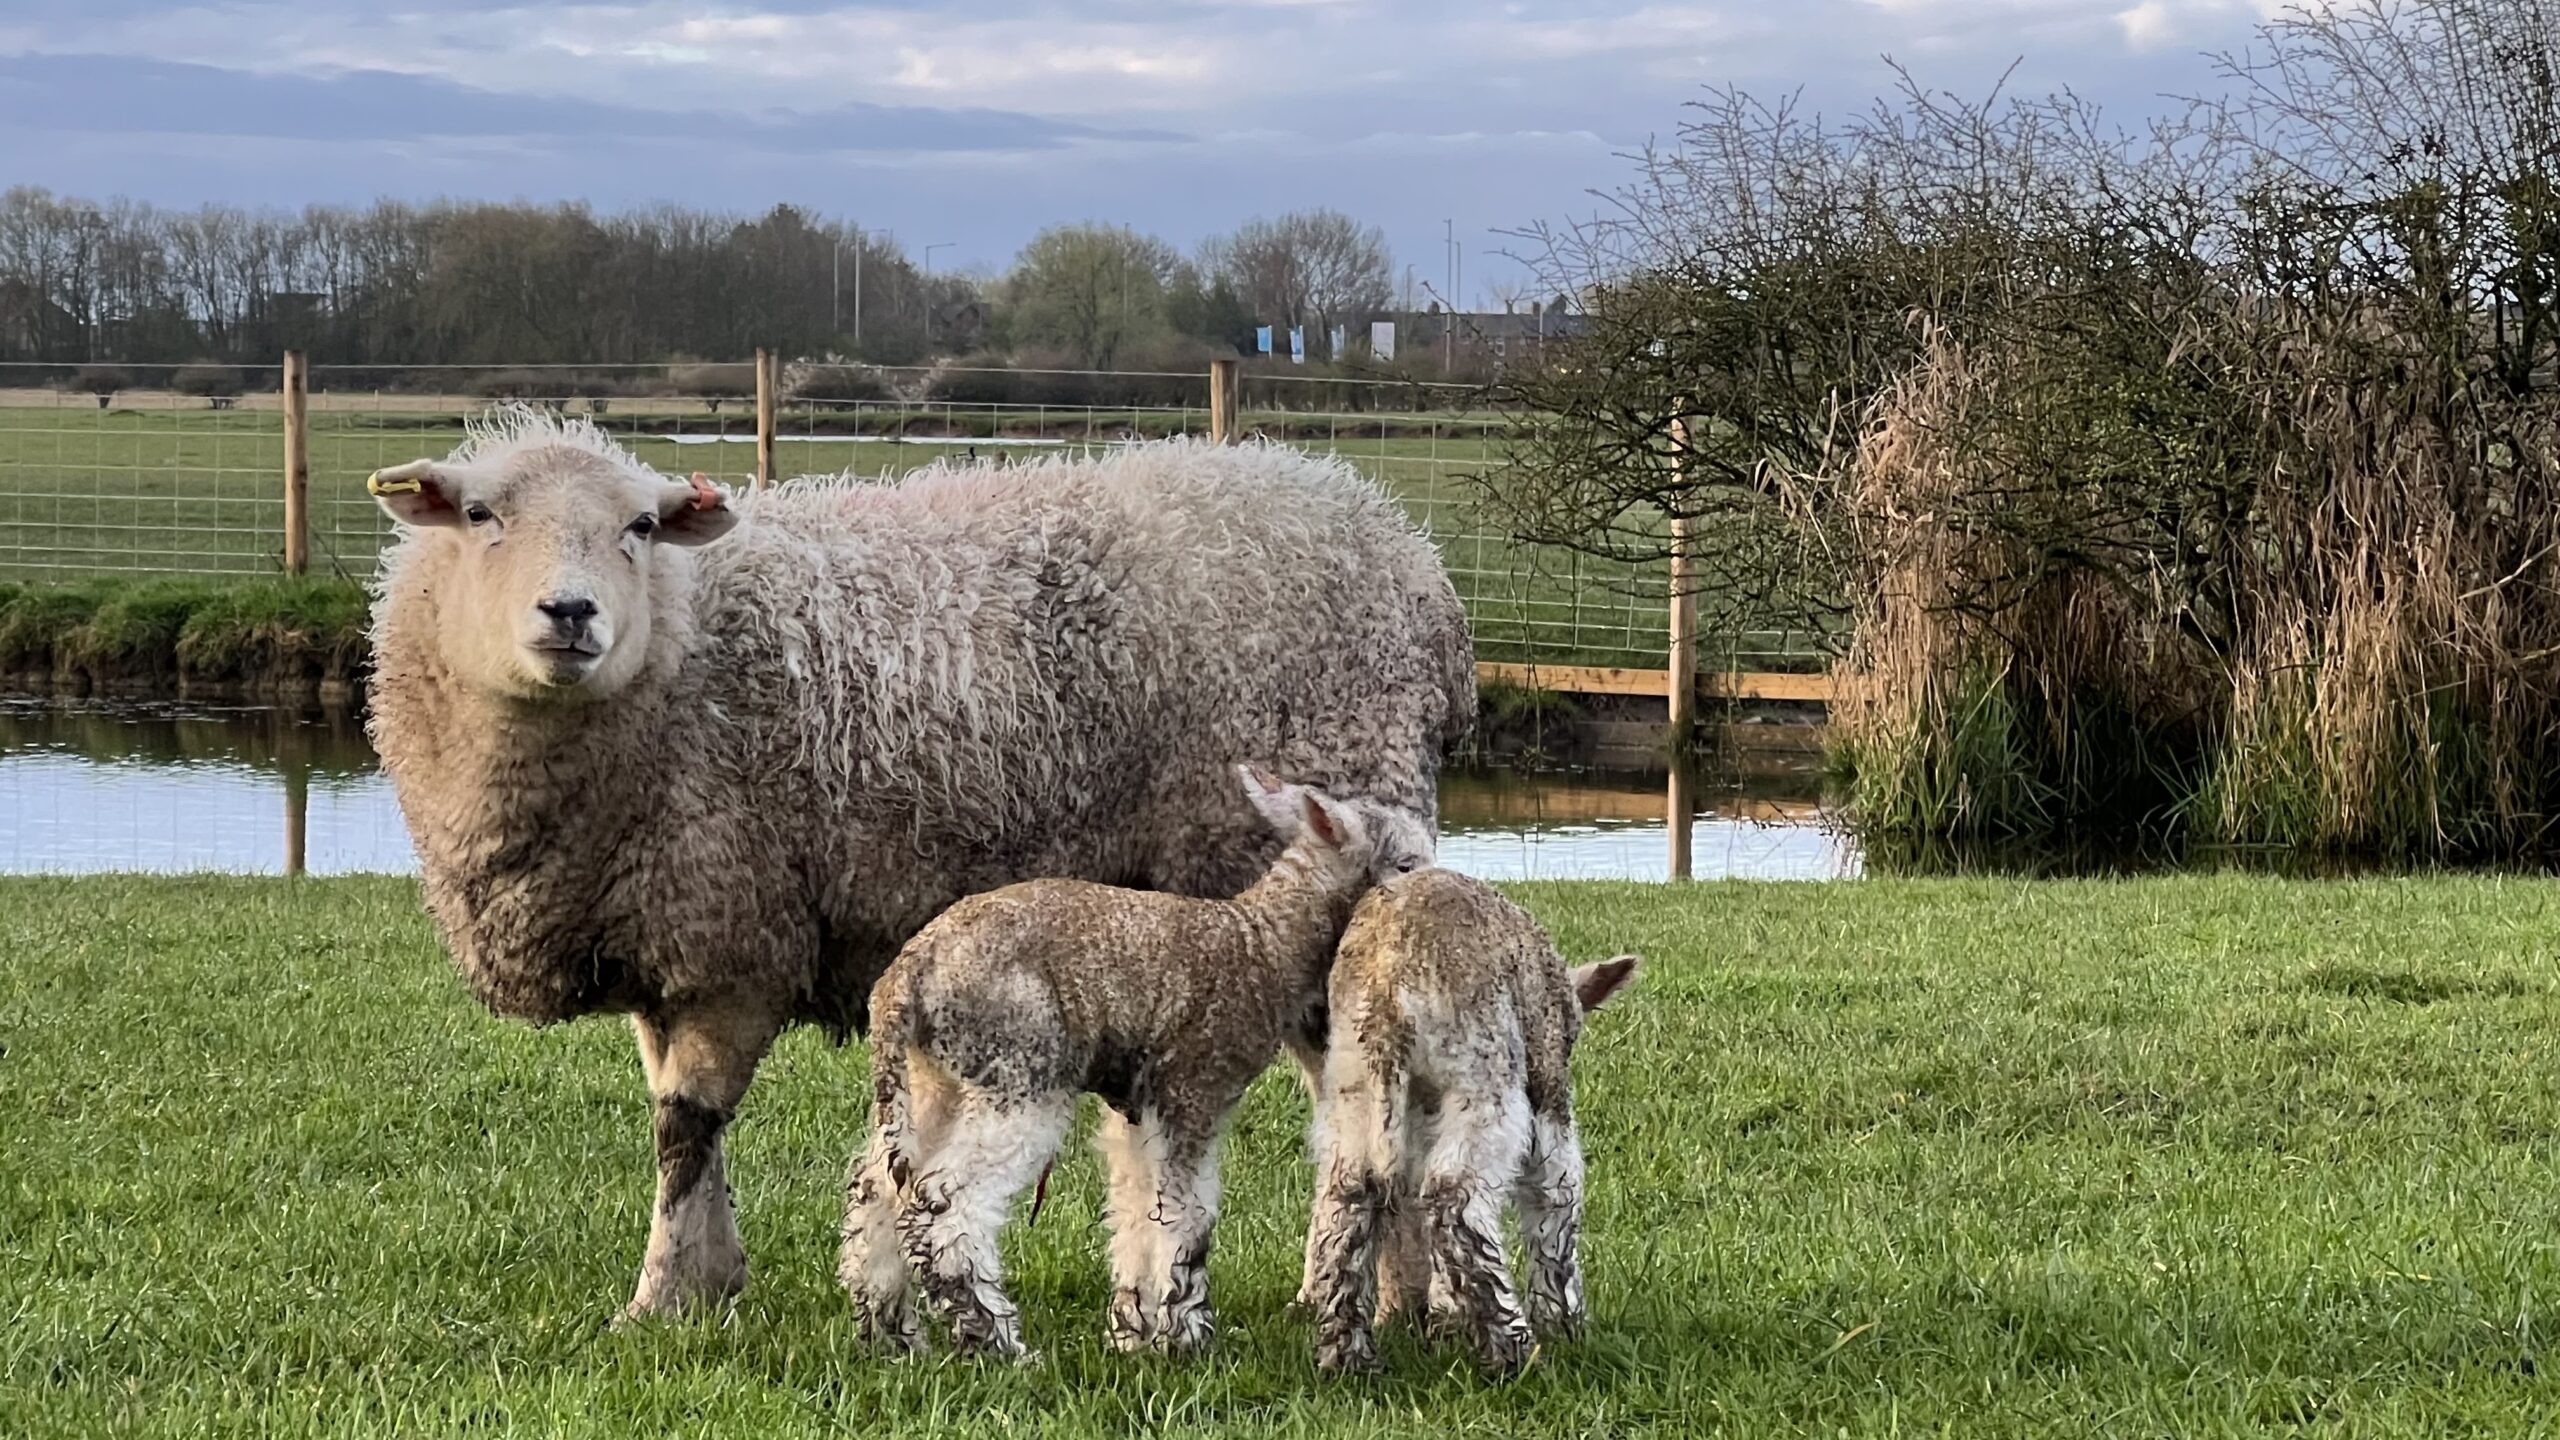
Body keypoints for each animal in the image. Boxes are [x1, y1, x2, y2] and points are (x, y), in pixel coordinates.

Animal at [840, 768, 1436, 1359]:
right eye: (1406, 863)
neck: (1262, 947)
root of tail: (908, 975)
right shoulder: (1195, 1089)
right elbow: (1190, 1214)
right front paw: (1185, 1335)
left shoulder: (1137, 1111)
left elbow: (1136, 1210)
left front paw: (1134, 1331)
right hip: (1020, 1070)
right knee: (946, 1205)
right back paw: (998, 1341)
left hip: (935, 1078)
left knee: (877, 1189)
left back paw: (888, 1331)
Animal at [1303, 867, 1637, 1376]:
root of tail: (1385, 996)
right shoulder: (1548, 1094)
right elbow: (1558, 1202)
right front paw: (1564, 1320)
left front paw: (1445, 1316)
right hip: (1485, 1081)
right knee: (1454, 1202)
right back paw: (1515, 1350)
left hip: (1350, 1086)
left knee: (1346, 1201)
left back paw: (1348, 1357)